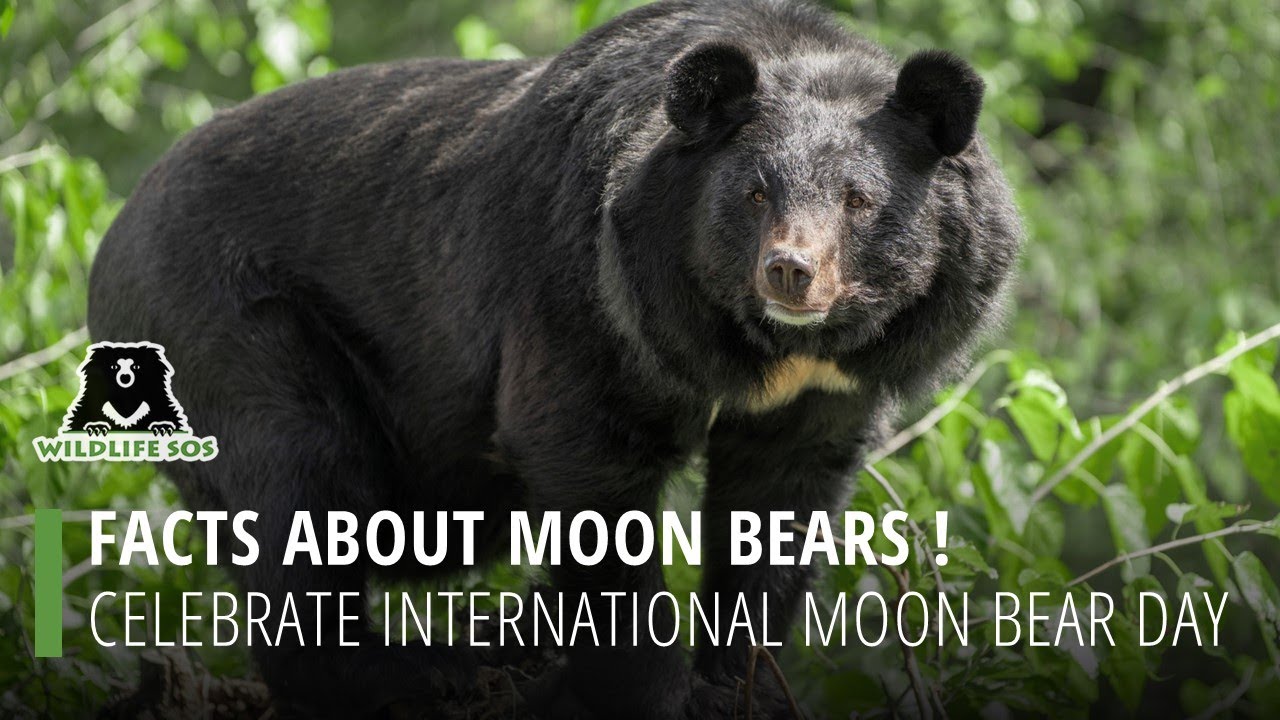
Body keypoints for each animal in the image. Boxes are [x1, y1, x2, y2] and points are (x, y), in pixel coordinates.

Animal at [86, 0, 1021, 717]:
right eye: (755, 193)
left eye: (860, 202)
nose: (790, 271)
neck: (766, 345)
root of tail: (113, 235)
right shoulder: (588, 303)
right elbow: (587, 467)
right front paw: (647, 690)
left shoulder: (829, 391)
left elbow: (777, 508)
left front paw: (736, 686)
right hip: (226, 324)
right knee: (301, 483)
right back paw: (417, 670)